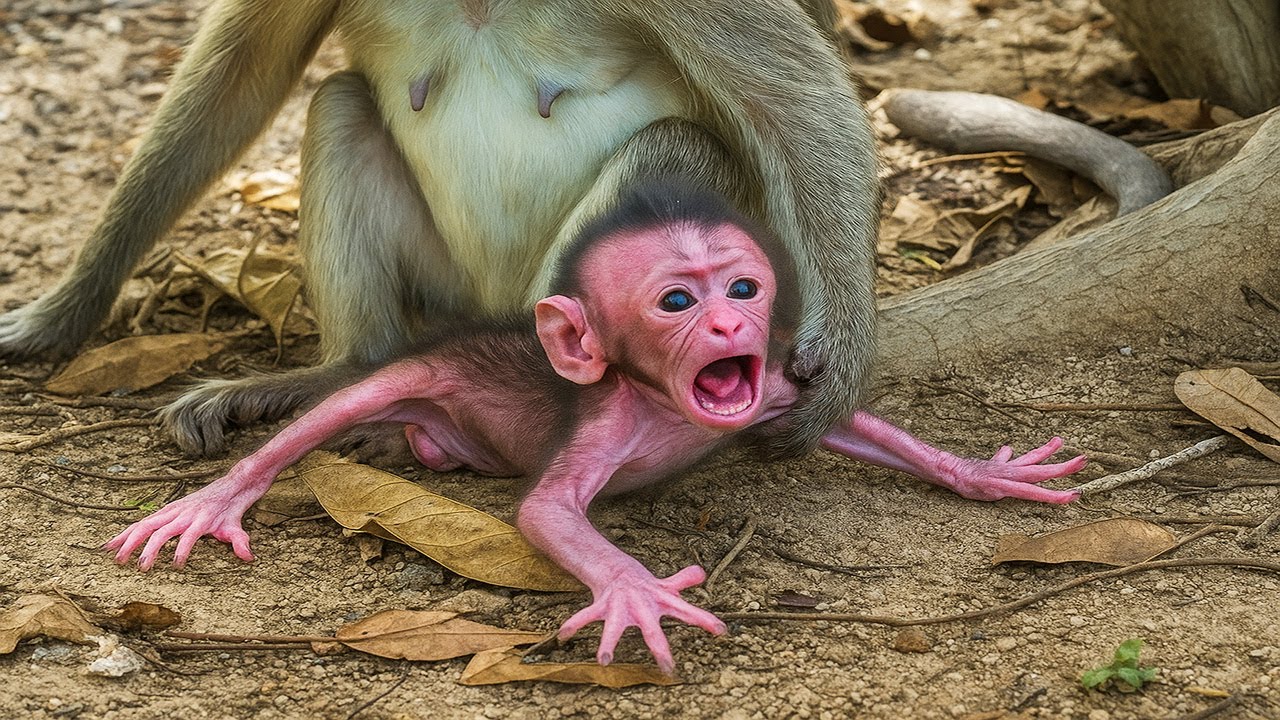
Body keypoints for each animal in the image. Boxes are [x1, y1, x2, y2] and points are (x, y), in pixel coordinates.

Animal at [0, 0, 873, 459]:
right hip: (448, 290)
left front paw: (837, 362)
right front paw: (70, 305)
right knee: (341, 104)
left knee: (675, 148)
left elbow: (788, 99)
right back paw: (351, 375)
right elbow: (242, 72)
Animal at [107, 179, 1085, 673]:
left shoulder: (771, 391)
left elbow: (854, 426)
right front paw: (636, 590)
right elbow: (547, 512)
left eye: (744, 287)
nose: (728, 327)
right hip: (420, 373)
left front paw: (984, 473)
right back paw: (222, 495)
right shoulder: (607, 415)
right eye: (677, 301)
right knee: (340, 409)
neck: (666, 402)